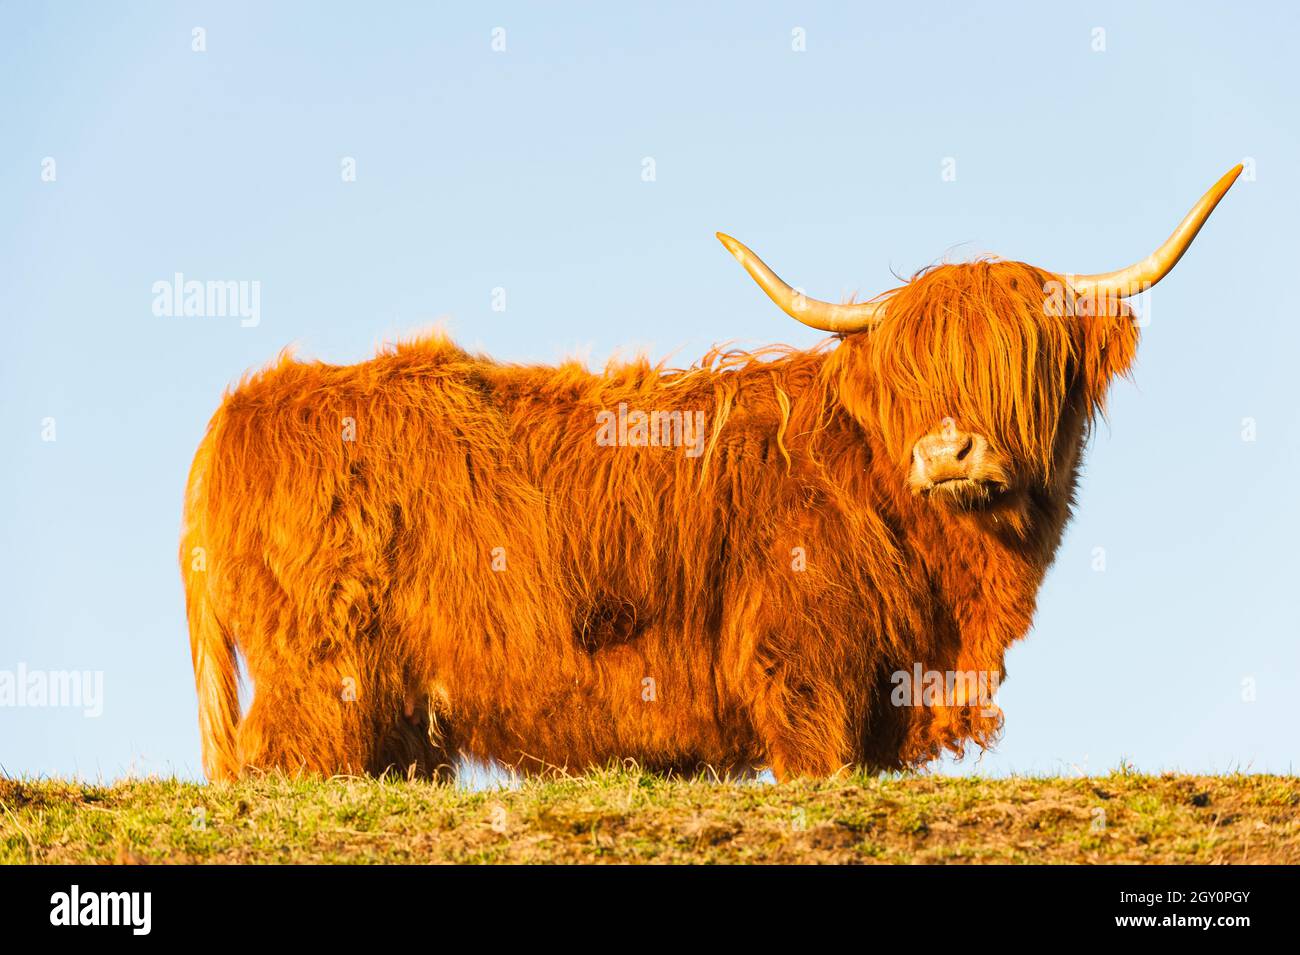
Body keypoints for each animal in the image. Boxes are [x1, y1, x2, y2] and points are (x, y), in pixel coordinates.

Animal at [183, 167, 1240, 781]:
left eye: (1020, 361)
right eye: (910, 375)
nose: (948, 453)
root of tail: (246, 405)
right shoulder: (803, 668)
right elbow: (817, 765)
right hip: (320, 675)